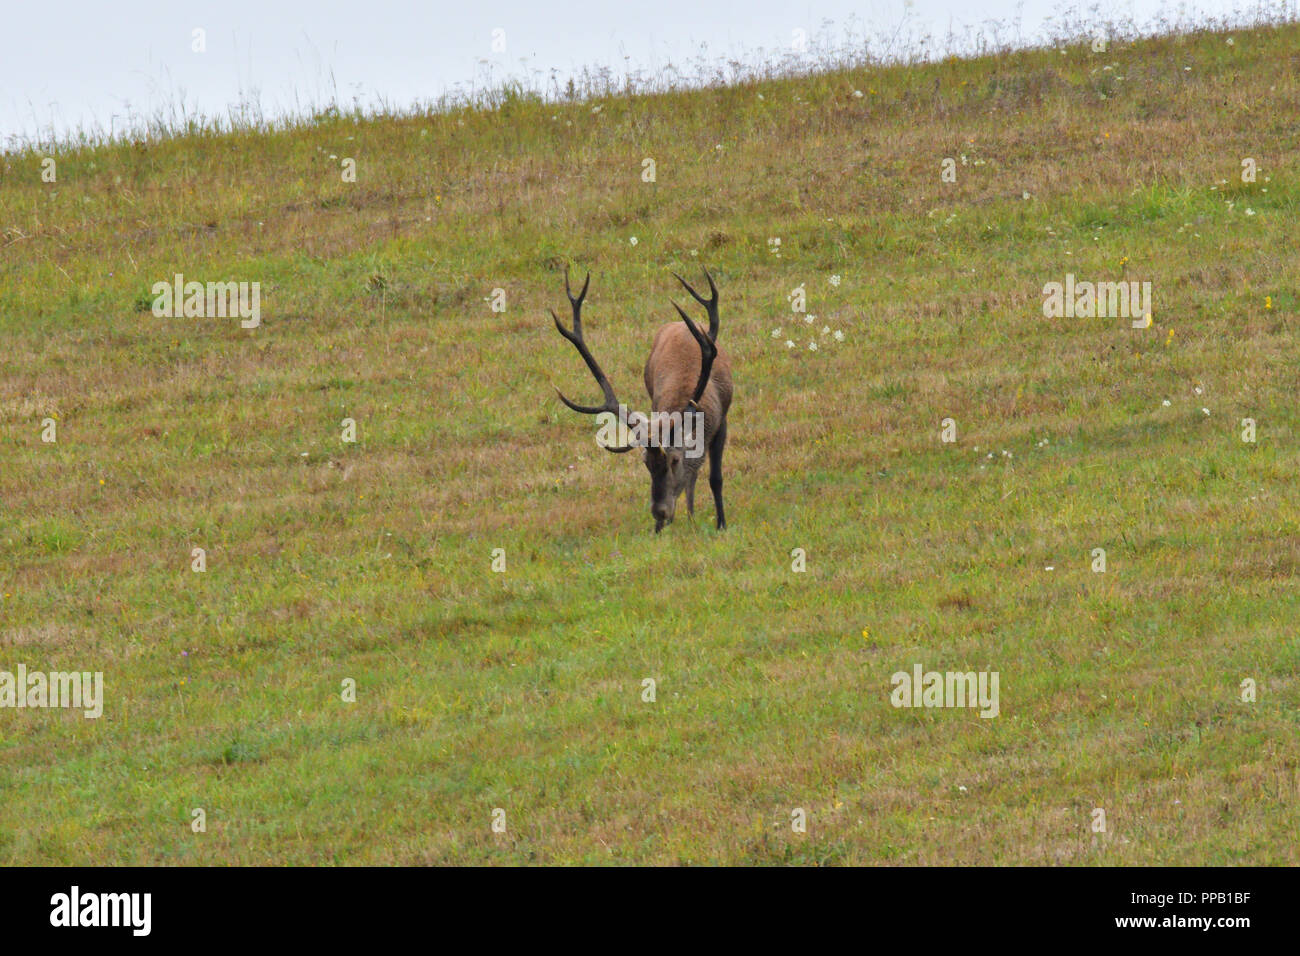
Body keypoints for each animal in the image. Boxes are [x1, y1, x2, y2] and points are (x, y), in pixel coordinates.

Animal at [550, 267, 733, 533]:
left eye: (674, 460)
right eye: (645, 462)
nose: (659, 512)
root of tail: (678, 323)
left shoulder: (722, 422)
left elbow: (715, 478)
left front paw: (721, 524)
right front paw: (669, 525)